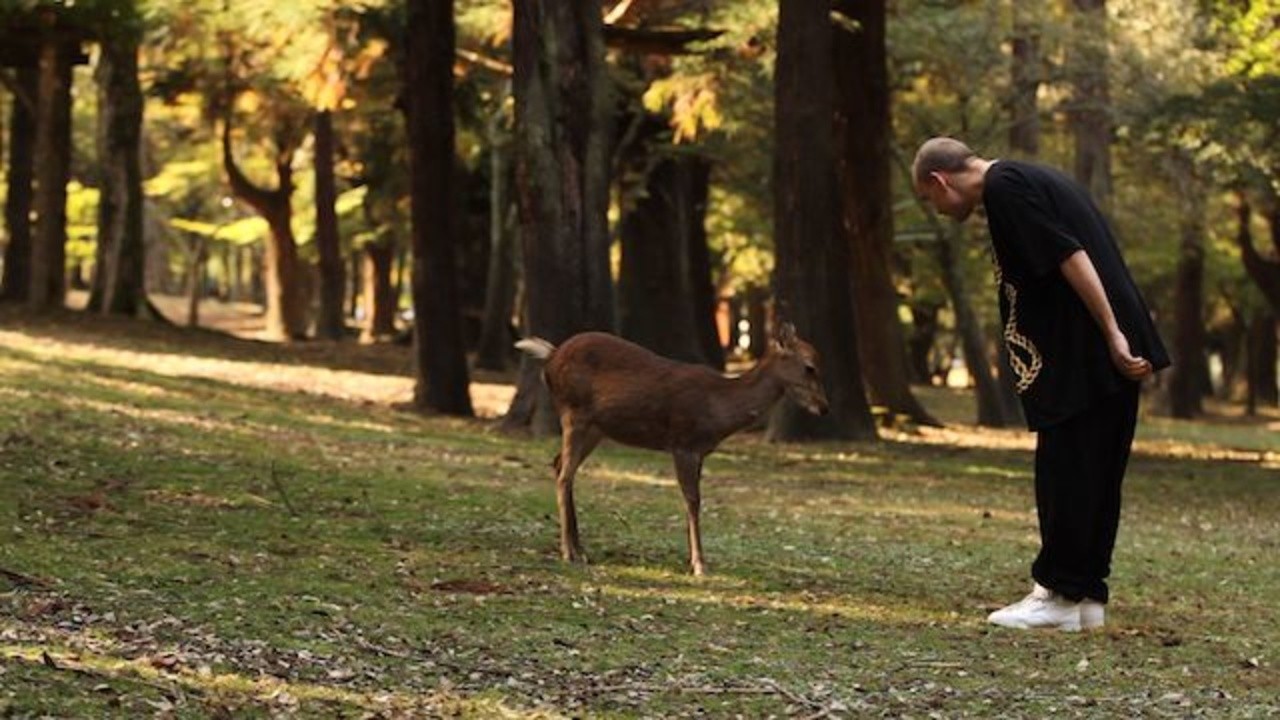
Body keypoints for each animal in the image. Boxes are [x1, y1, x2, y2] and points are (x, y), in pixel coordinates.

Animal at [515, 322, 829, 576]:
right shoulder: (683, 443)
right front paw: (699, 564)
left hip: (595, 428)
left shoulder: (699, 451)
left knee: (559, 464)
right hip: (574, 413)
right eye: (809, 366)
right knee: (564, 474)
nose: (824, 407)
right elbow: (693, 501)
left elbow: (694, 500)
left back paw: (580, 548)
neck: (719, 407)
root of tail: (551, 356)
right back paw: (568, 553)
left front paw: (696, 560)